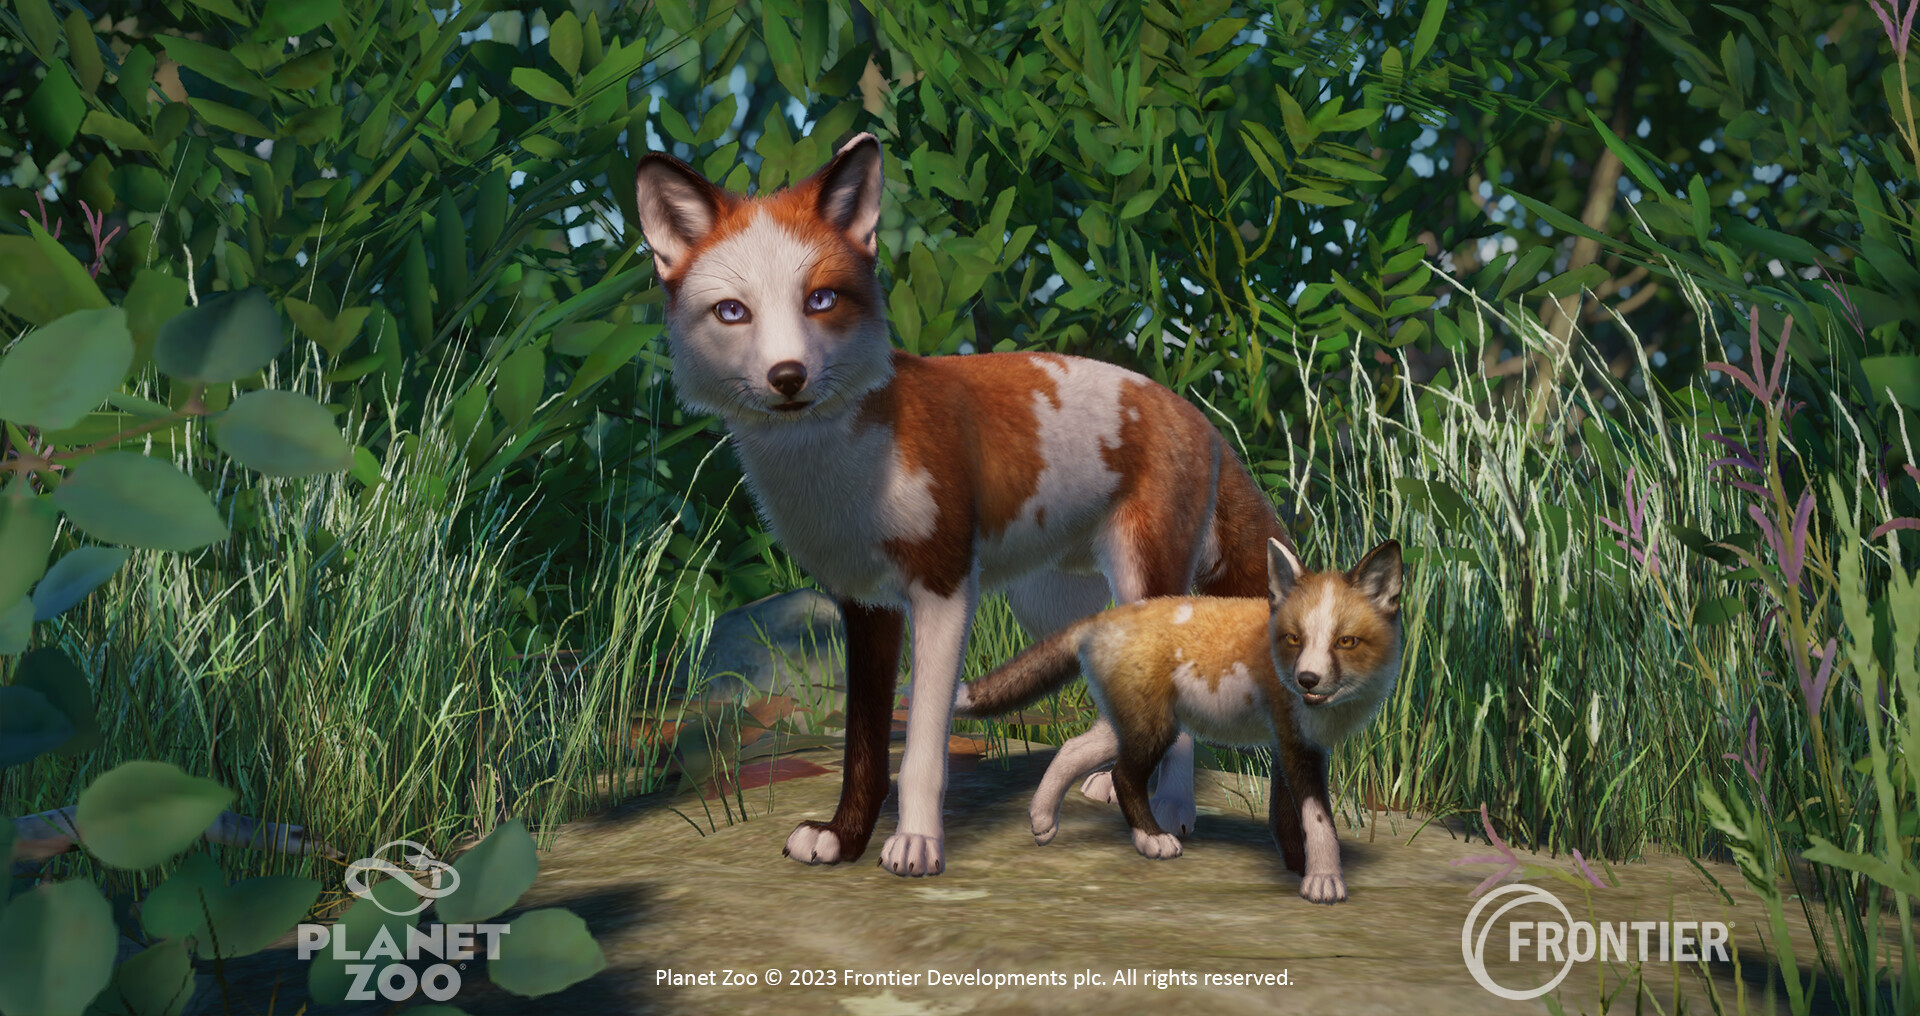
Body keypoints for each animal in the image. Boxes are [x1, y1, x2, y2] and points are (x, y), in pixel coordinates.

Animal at [630, 131, 1297, 878]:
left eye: (821, 299)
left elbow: (921, 748)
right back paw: (1107, 785)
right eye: (732, 311)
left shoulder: (944, 588)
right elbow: (863, 751)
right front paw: (843, 840)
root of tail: (1191, 412)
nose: (788, 378)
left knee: (1176, 720)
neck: (848, 472)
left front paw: (917, 845)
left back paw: (1171, 815)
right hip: (1056, 605)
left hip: (1139, 579)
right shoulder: (864, 605)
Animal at [954, 537, 1403, 903]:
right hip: (1155, 728)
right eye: (1295, 638)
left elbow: (1289, 815)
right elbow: (1319, 819)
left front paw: (1297, 864)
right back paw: (1151, 839)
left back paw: (1043, 819)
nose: (1306, 679)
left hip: (1129, 724)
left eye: (1345, 641)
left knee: (1072, 748)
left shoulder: (1294, 744)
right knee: (1122, 775)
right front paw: (1324, 881)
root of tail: (1105, 618)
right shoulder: (1296, 746)